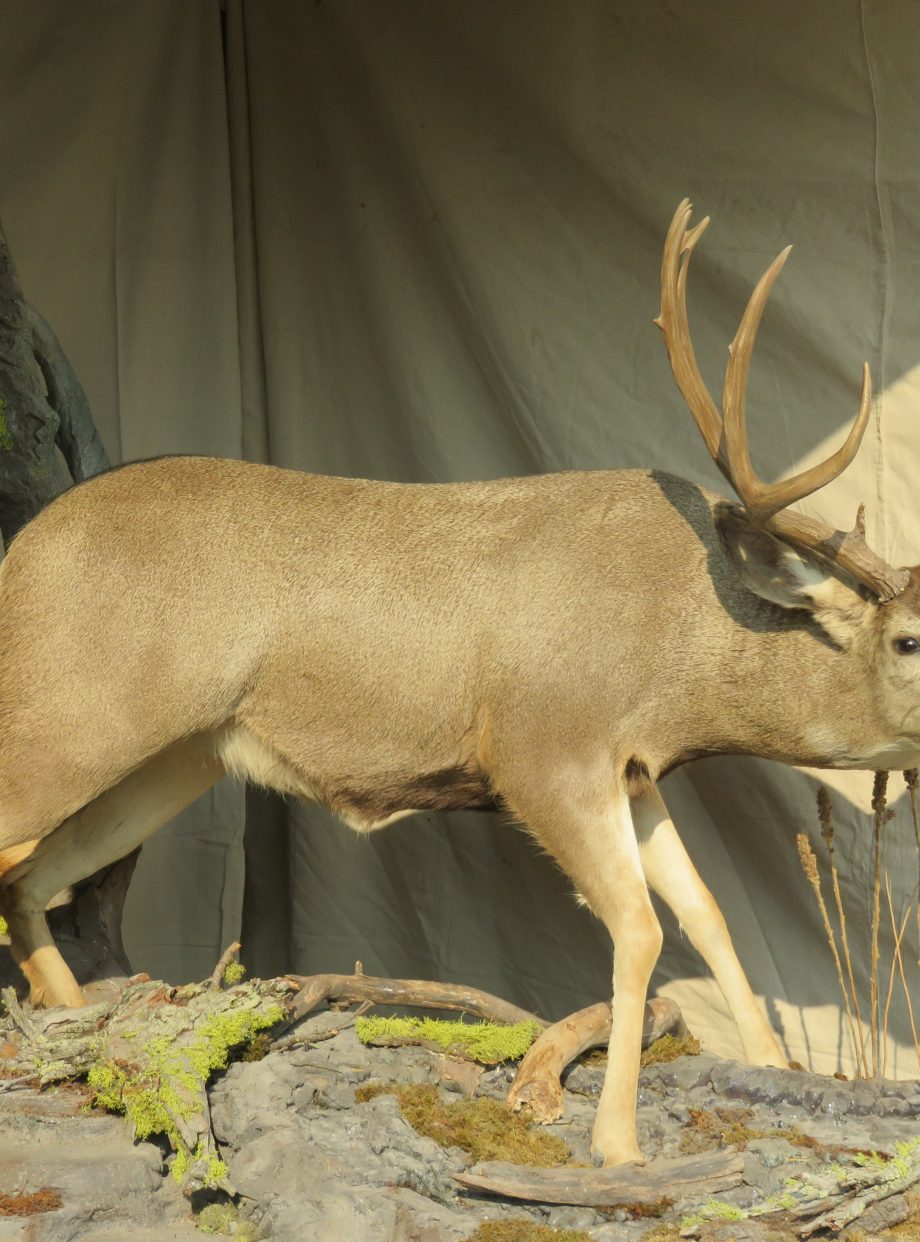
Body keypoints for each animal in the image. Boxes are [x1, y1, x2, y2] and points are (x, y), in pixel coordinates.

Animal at [0, 199, 918, 1168]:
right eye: (906, 640)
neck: (674, 640)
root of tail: (22, 552)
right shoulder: (540, 748)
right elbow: (640, 928)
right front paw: (618, 1141)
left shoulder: (632, 773)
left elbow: (705, 912)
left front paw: (780, 1070)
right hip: (70, 713)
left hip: (178, 755)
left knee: (29, 878)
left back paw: (78, 1028)